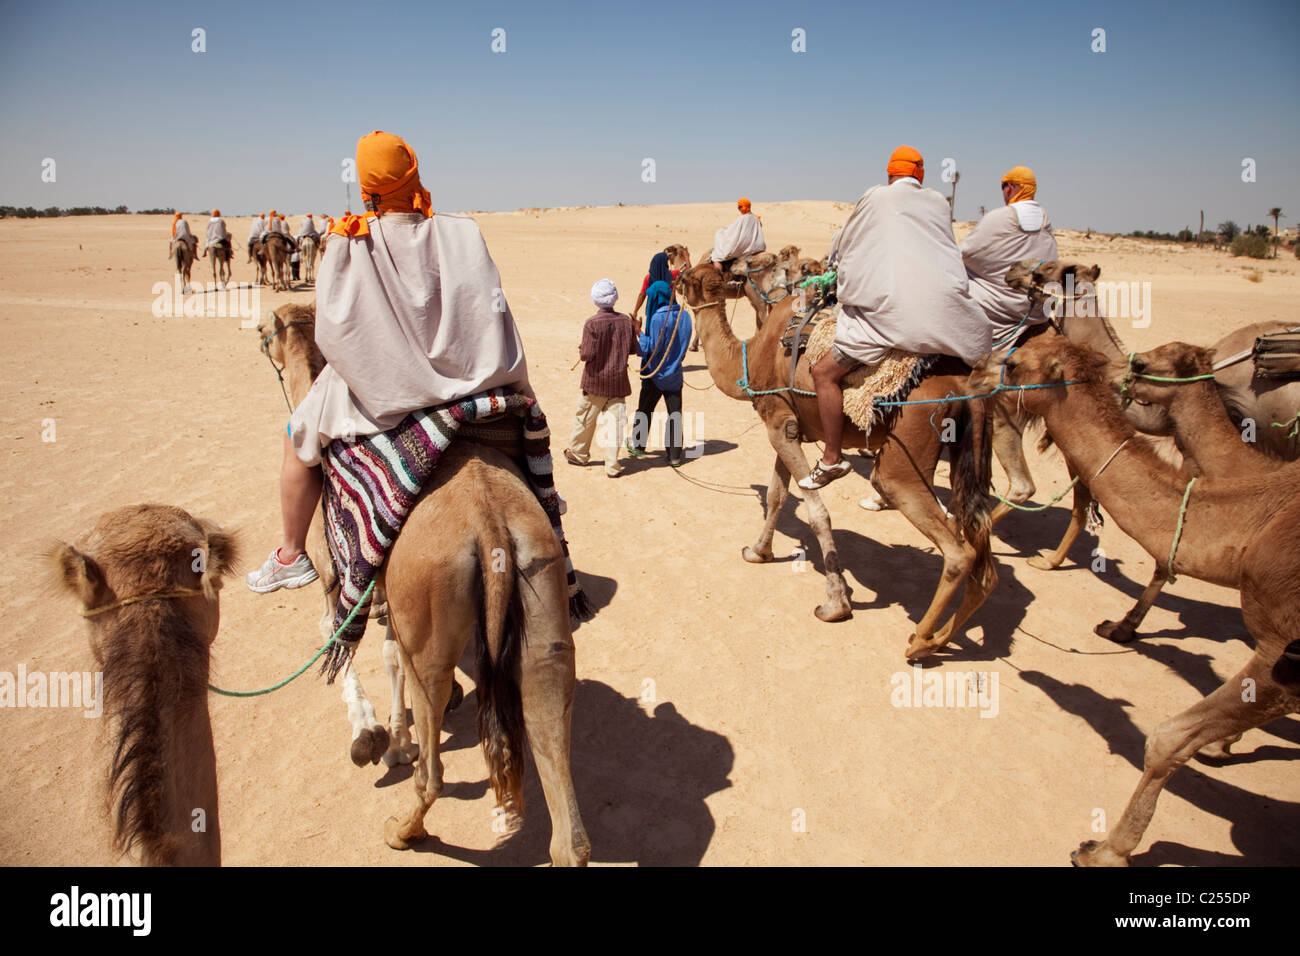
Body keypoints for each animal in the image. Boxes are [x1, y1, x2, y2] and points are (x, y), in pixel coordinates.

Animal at [259, 306, 589, 863]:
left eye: (266, 328)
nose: (261, 342)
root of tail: (488, 523)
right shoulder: (390, 597)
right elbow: (388, 654)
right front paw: (395, 738)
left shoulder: (343, 579)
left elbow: (346, 643)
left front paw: (376, 740)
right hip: (541, 595)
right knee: (554, 757)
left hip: (429, 631)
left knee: (433, 761)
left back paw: (403, 829)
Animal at [675, 263, 997, 661]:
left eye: (688, 276)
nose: (675, 278)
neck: (751, 357)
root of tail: (964, 387)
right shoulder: (786, 425)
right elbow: (777, 495)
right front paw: (758, 552)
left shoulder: (779, 424)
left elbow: (816, 511)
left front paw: (835, 604)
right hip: (966, 452)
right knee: (980, 538)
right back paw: (942, 637)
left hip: (905, 457)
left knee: (955, 549)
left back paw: (920, 641)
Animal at [974, 335, 1300, 866]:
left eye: (1017, 362)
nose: (977, 369)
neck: (1257, 520)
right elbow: (1163, 565)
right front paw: (1120, 627)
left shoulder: (1283, 652)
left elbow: (1169, 737)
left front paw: (1103, 850)